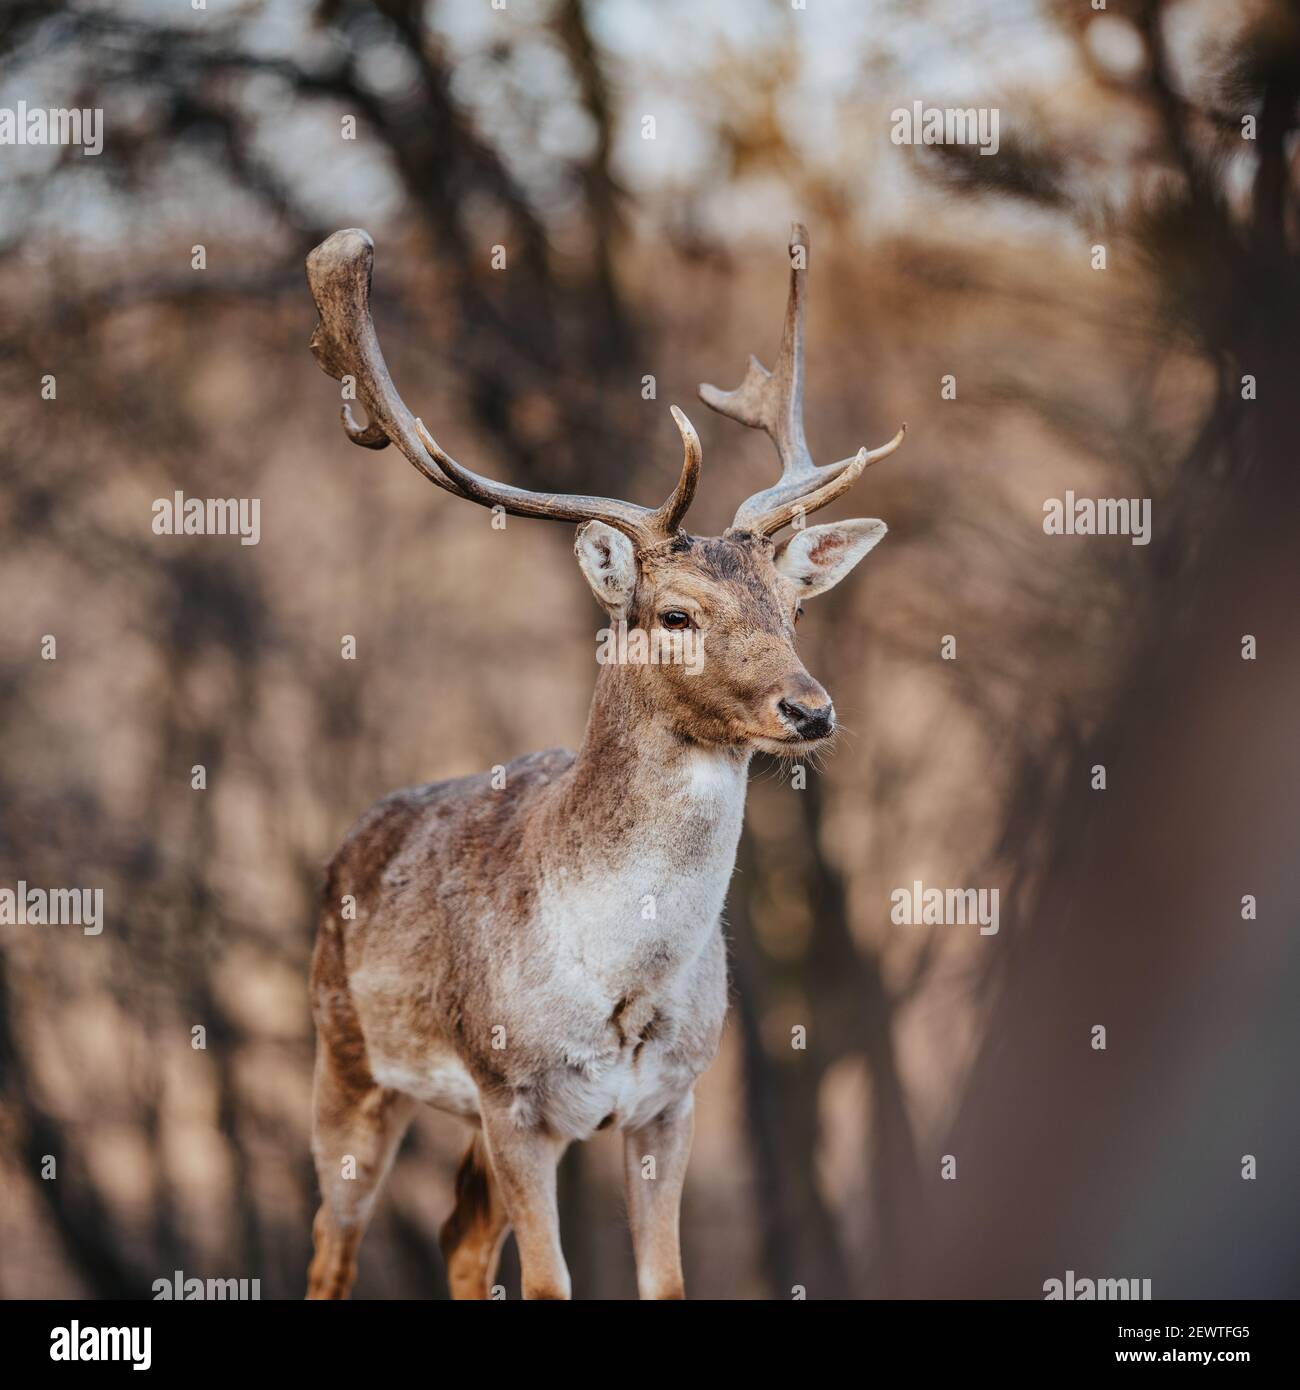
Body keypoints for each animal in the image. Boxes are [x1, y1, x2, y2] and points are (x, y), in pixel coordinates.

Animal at [303, 222, 905, 1300]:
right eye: (675, 614)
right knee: (332, 1243)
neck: (619, 991)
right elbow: (549, 1285)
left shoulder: (670, 1100)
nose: (811, 709)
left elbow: (664, 1281)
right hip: (347, 1061)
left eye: (791, 610)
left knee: (459, 1236)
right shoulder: (514, 1094)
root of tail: (348, 843)